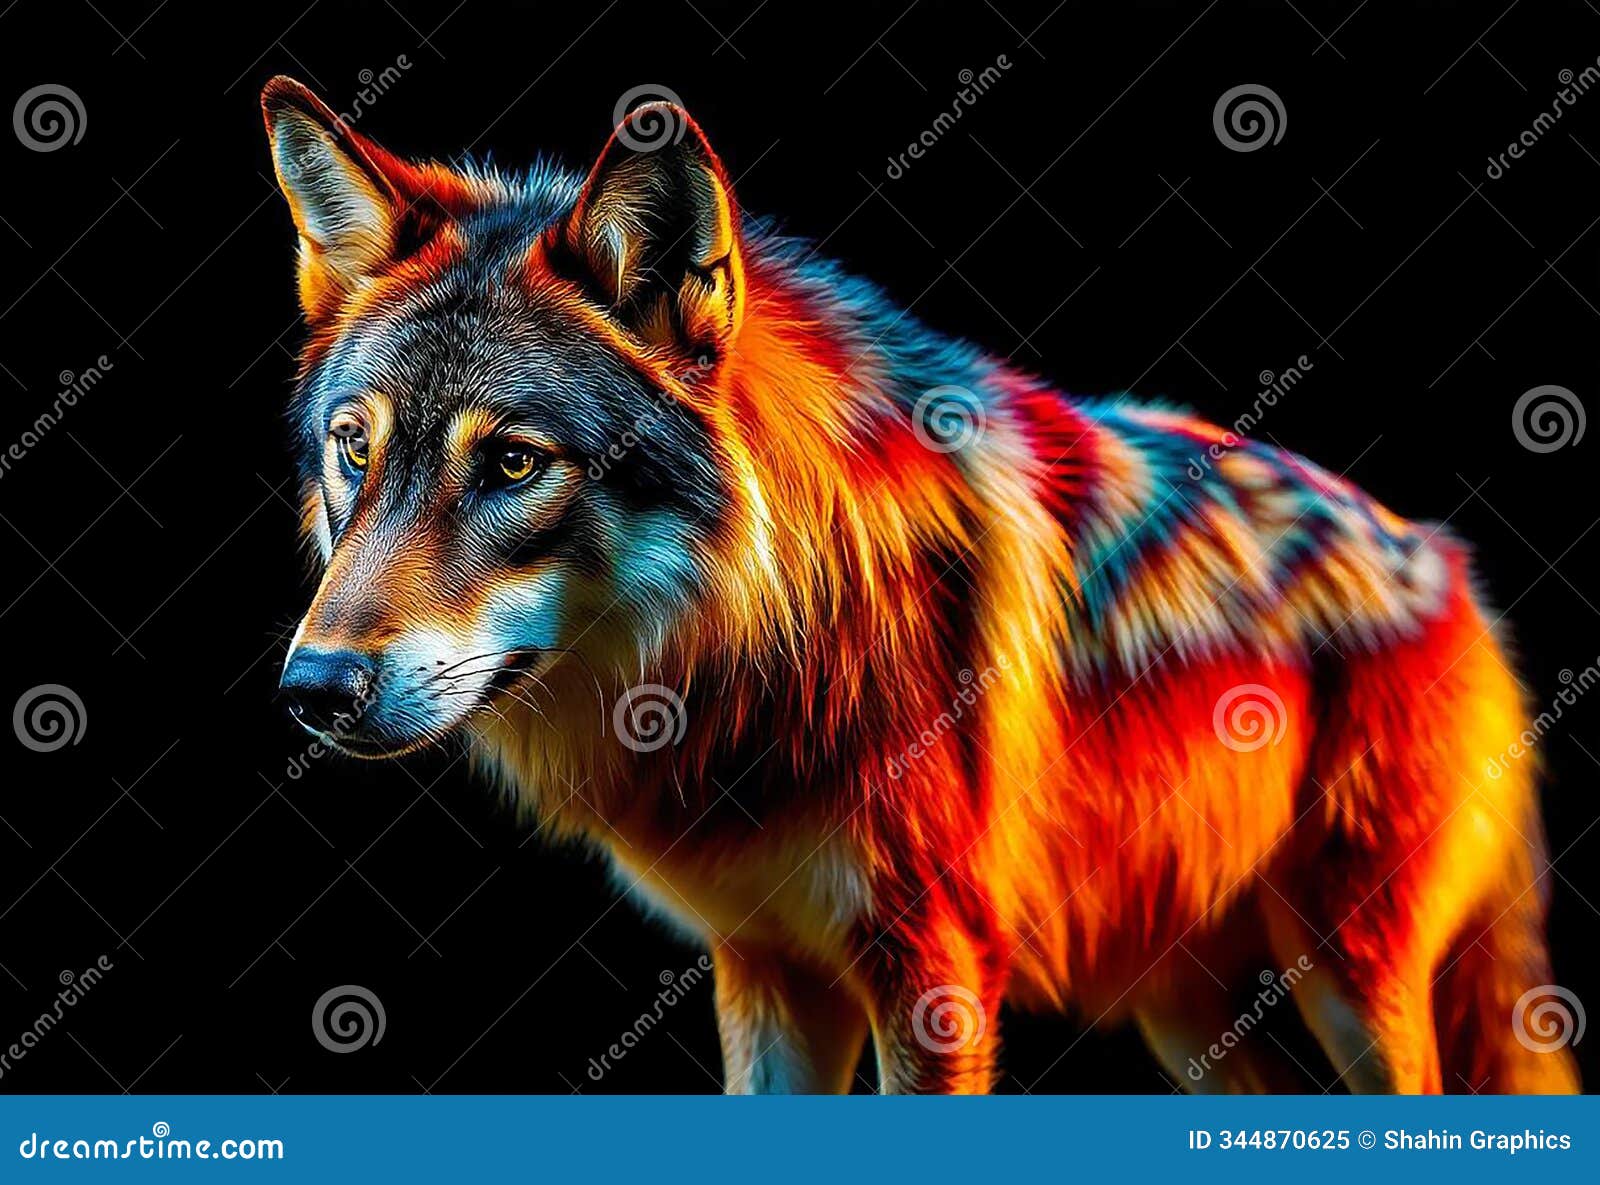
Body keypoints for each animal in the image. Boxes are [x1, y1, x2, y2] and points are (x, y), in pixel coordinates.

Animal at [262, 76, 1579, 1094]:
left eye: (512, 463)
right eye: (355, 450)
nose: (314, 689)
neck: (771, 640)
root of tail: (1441, 560)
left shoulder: (935, 972)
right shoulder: (771, 973)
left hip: (1353, 978)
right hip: (1190, 1014)